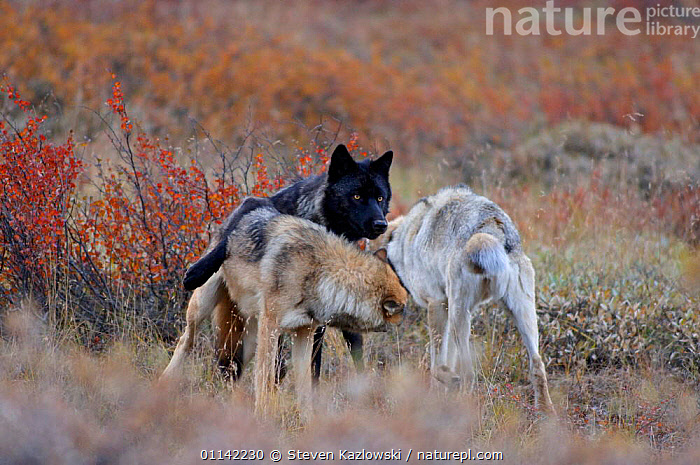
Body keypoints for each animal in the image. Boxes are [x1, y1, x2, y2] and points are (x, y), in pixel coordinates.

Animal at [162, 206, 408, 412]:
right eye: (401, 309)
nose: (405, 320)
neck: (320, 274)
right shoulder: (271, 328)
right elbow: (265, 381)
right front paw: (263, 418)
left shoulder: (304, 334)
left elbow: (305, 387)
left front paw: (308, 423)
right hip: (203, 308)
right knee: (186, 342)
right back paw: (165, 382)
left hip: (248, 337)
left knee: (233, 370)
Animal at [182, 144, 393, 381]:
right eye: (356, 196)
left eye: (380, 198)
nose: (381, 224)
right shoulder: (255, 202)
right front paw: (197, 271)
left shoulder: (315, 319)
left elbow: (315, 365)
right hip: (206, 308)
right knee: (189, 342)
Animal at [372, 185, 554, 411]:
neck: (400, 240)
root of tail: (492, 227)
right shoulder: (448, 311)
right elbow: (447, 358)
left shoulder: (437, 305)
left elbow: (436, 364)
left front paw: (441, 389)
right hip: (522, 315)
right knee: (538, 364)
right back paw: (547, 412)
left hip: (461, 315)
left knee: (469, 372)